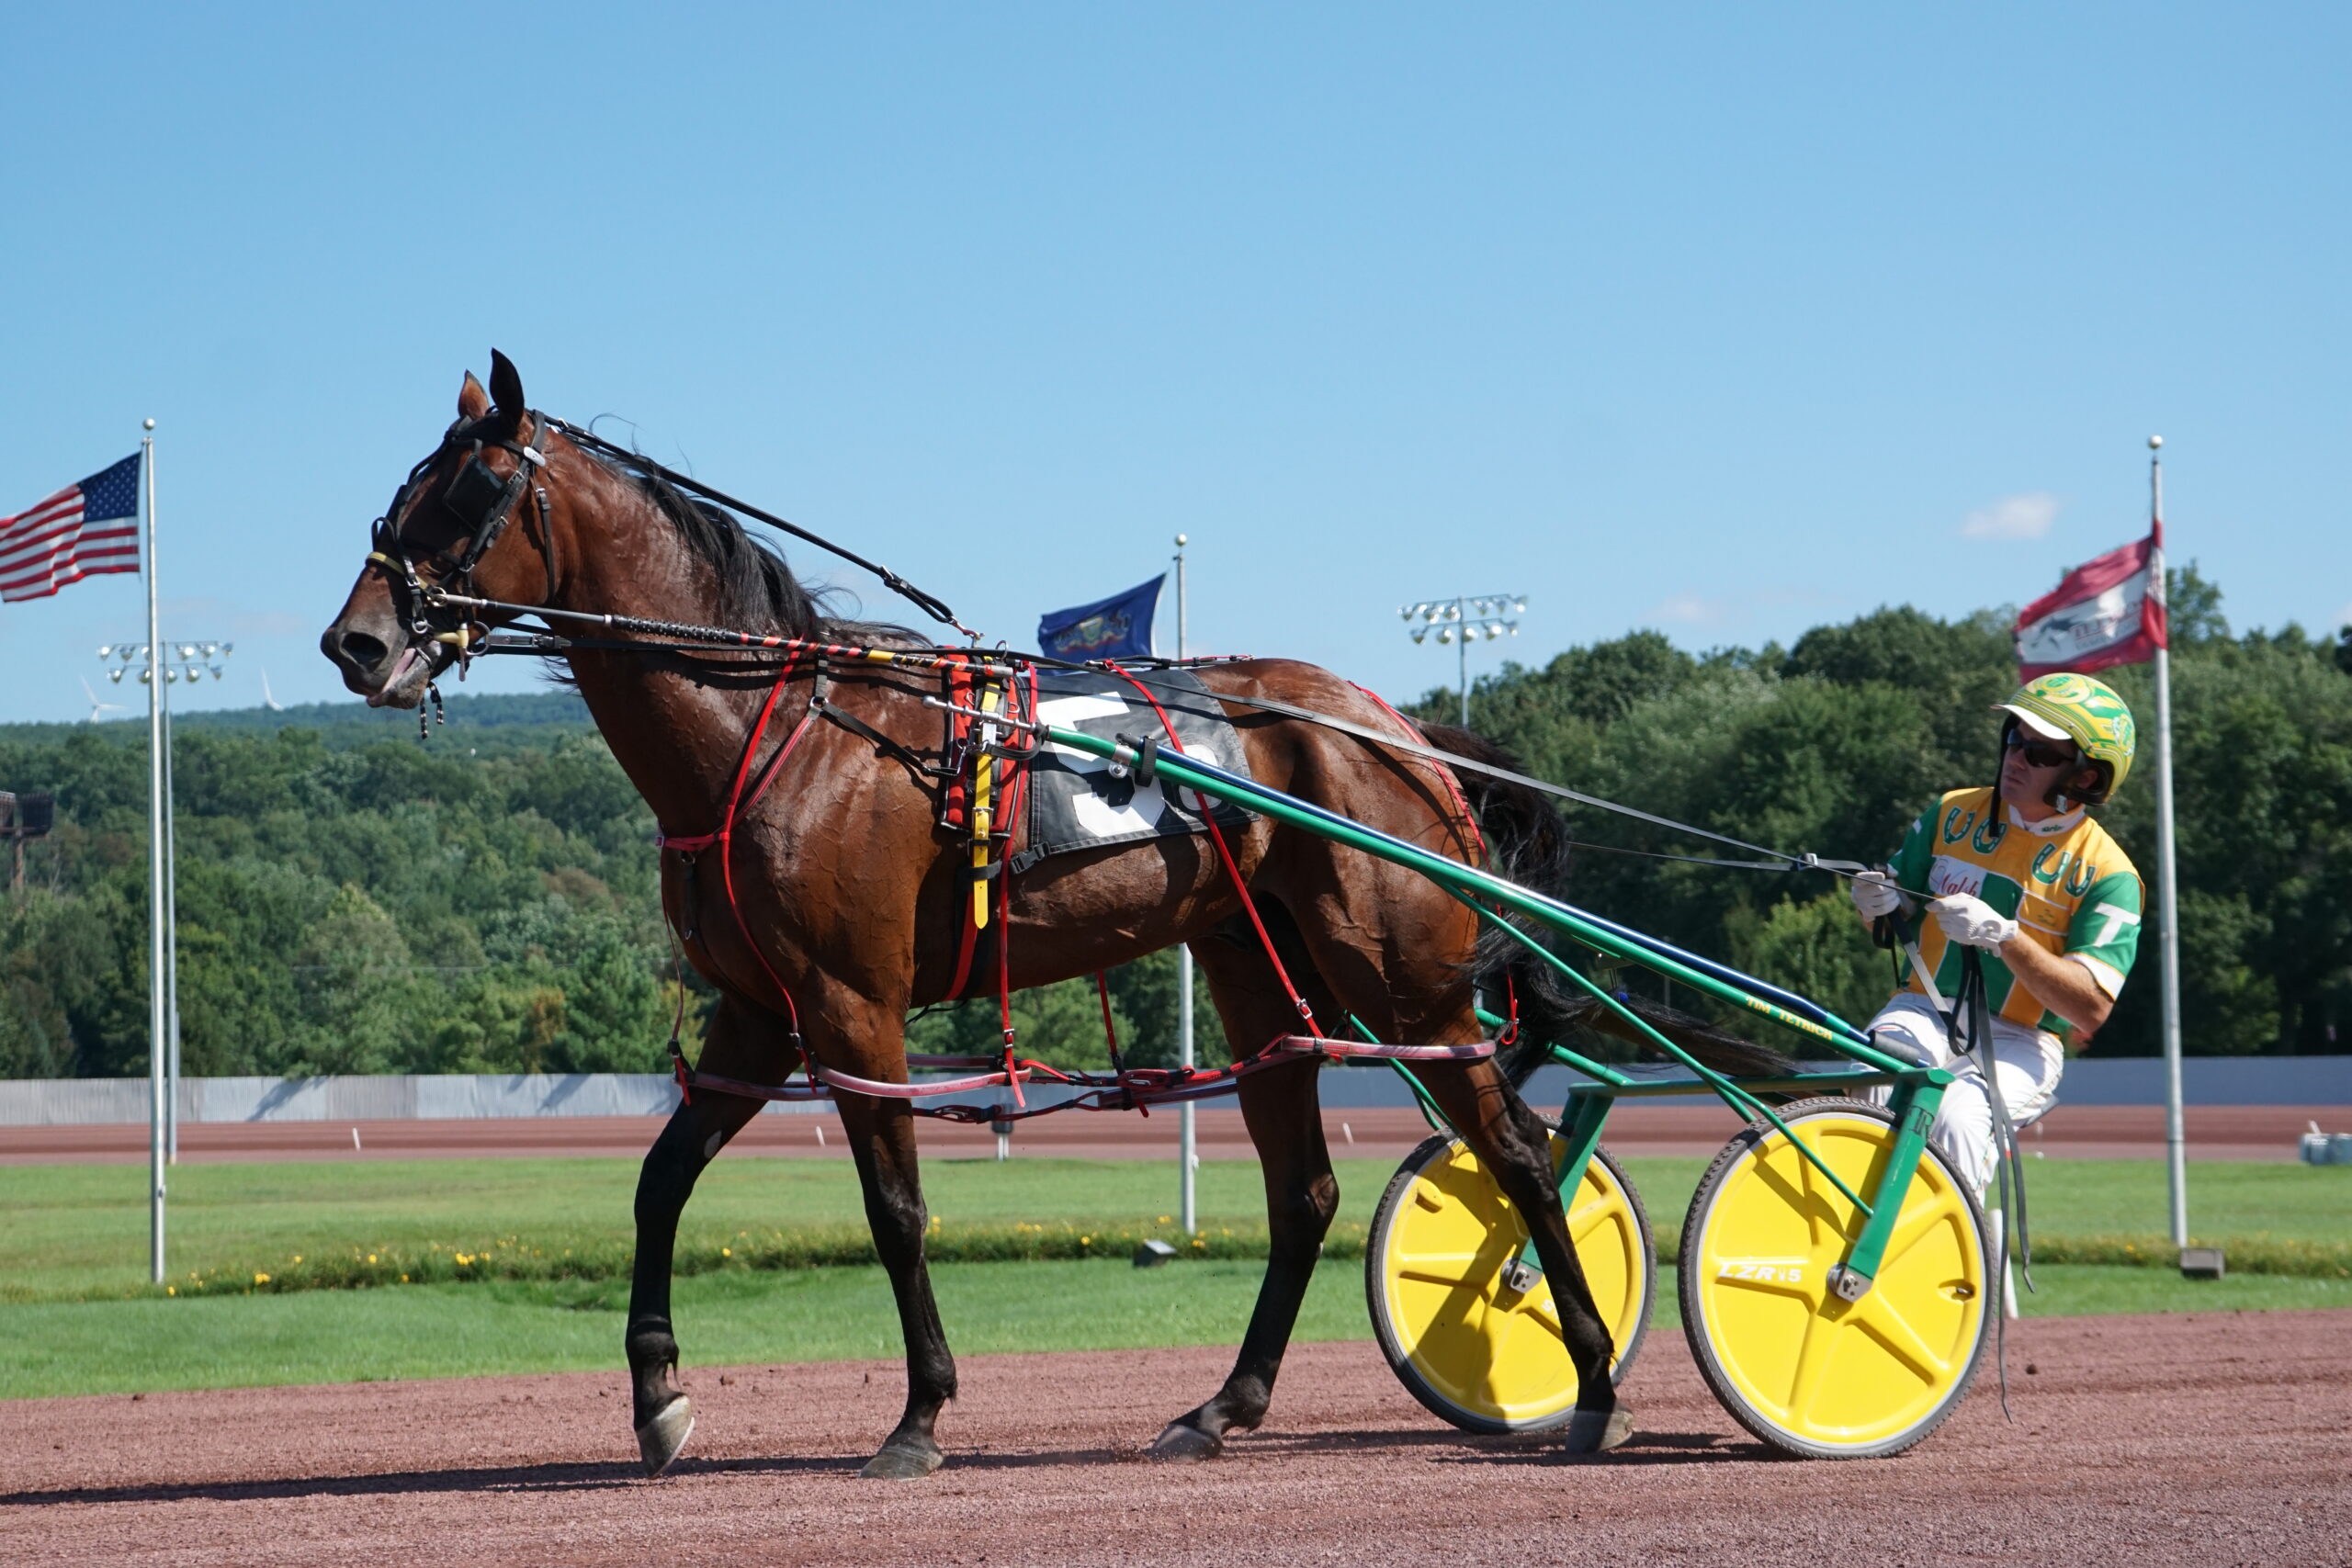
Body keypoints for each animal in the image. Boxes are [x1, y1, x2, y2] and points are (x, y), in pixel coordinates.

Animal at [322, 352, 1779, 1479]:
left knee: (1519, 1155)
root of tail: (1402, 730)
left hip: (1402, 982)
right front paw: (660, 1400)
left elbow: (895, 1208)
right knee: (1305, 1187)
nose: (357, 642)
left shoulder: (852, 1007)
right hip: (1259, 971)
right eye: (400, 487)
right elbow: (658, 1181)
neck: (781, 731)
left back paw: (1594, 1393)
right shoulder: (757, 1014)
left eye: (470, 490)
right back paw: (1222, 1407)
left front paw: (919, 1417)